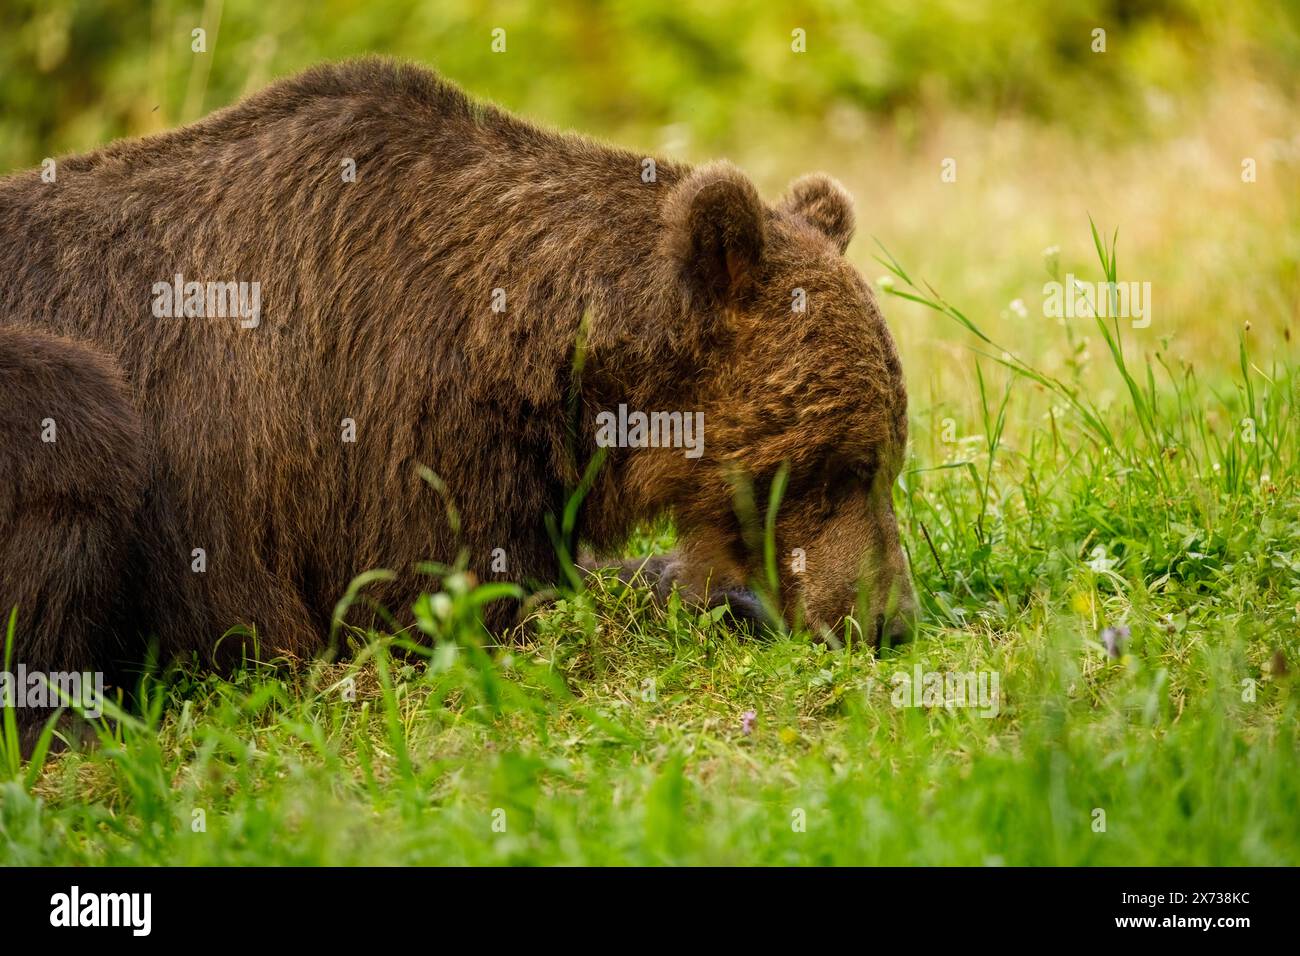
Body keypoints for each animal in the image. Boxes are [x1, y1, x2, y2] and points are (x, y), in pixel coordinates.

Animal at [0, 57, 915, 736]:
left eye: (887, 458)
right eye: (835, 464)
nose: (887, 620)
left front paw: (713, 589)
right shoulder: (382, 436)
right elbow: (477, 607)